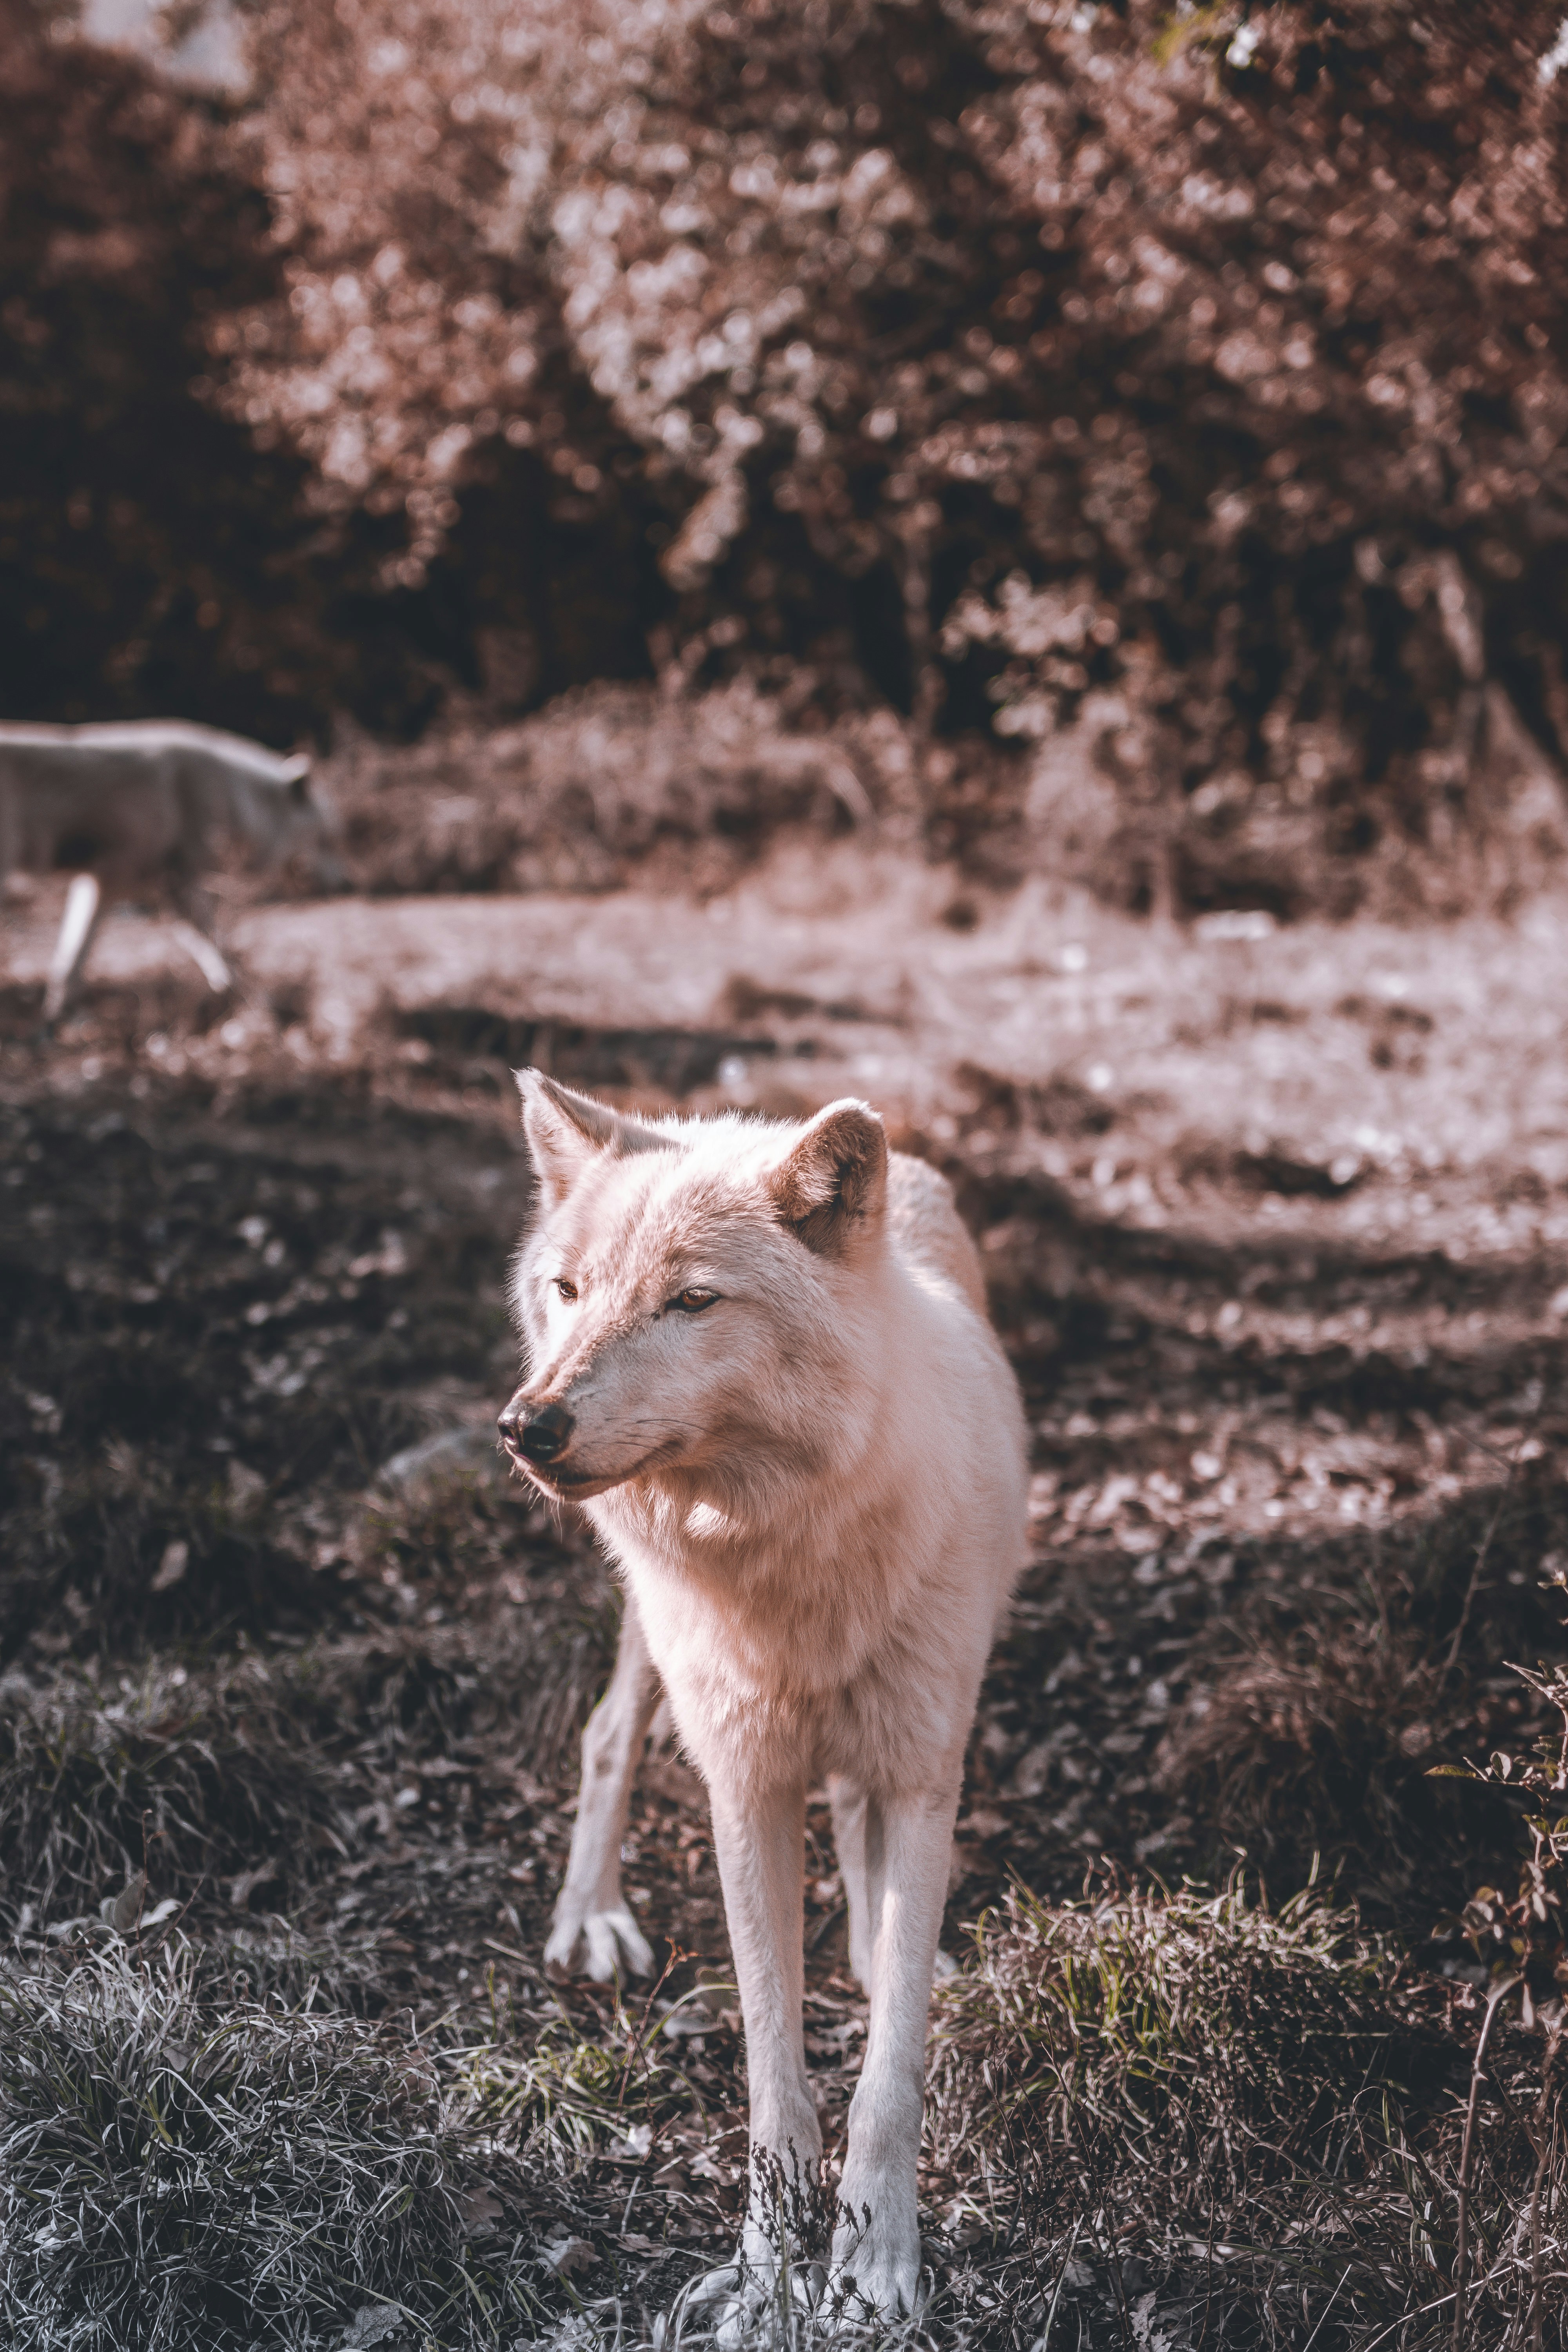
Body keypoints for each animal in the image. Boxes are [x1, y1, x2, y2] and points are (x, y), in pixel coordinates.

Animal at [0, 719, 338, 1025]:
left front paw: (55, 1014)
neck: (233, 797)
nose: (344, 884)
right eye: (326, 839)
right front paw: (253, 1000)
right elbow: (216, 947)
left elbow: (72, 956)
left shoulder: (106, 883)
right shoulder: (172, 884)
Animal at [499, 1074, 1029, 2321]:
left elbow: (891, 2072)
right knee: (606, 1733)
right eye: (570, 1290)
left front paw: (875, 2266)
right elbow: (774, 2079)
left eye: (692, 1301)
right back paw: (590, 1917)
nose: (529, 1426)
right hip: (649, 1640)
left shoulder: (925, 1769)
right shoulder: (744, 1786)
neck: (789, 1553)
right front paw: (769, 2273)